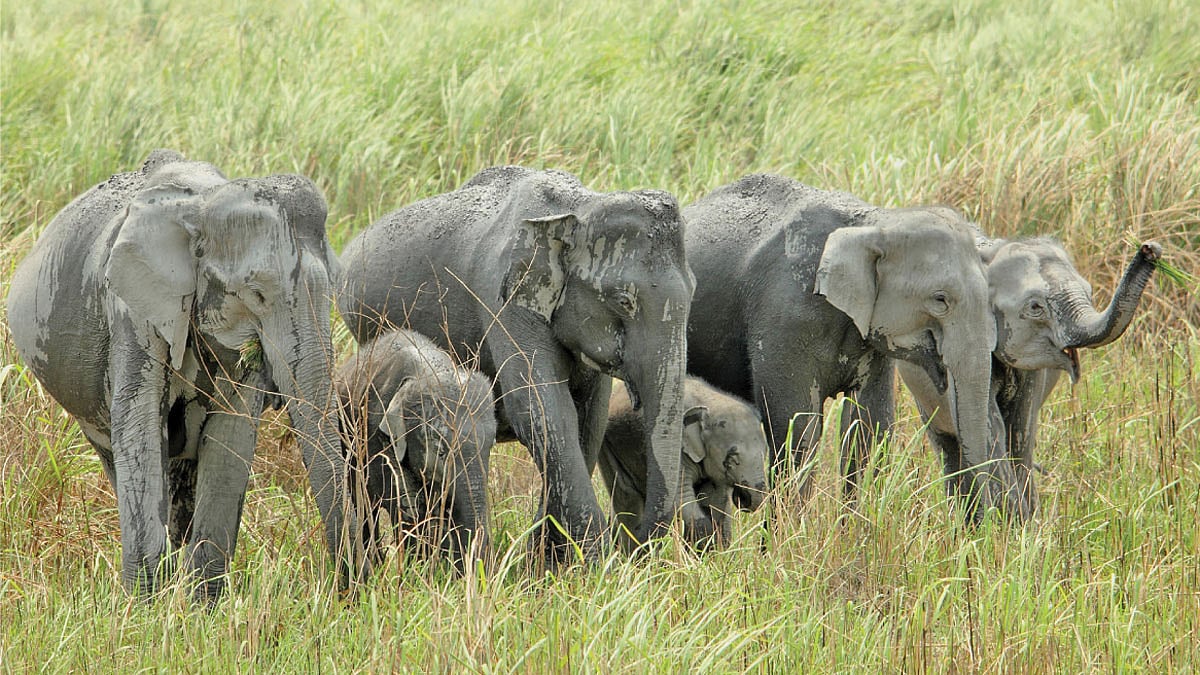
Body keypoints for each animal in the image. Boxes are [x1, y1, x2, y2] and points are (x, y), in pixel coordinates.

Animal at [6, 150, 357, 601]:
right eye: (256, 294)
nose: (349, 595)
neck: (204, 208)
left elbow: (232, 434)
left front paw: (202, 606)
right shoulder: (131, 305)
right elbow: (139, 422)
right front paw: (146, 607)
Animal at [335, 328, 496, 569]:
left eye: (489, 450)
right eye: (440, 452)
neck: (428, 370)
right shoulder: (376, 433)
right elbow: (407, 507)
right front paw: (418, 569)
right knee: (363, 506)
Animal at [599, 377, 768, 551]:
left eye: (765, 454)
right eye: (732, 459)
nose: (742, 496)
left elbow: (716, 500)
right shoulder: (676, 449)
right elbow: (683, 497)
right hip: (608, 444)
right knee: (627, 495)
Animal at [682, 173, 1013, 523]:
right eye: (940, 300)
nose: (986, 522)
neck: (874, 223)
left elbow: (869, 425)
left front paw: (855, 529)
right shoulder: (784, 318)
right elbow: (797, 427)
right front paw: (791, 533)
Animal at [897, 237, 1161, 514]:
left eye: (1089, 293)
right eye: (1035, 307)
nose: (1149, 249)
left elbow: (1019, 435)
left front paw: (1025, 520)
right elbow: (993, 433)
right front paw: (1010, 519)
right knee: (948, 446)